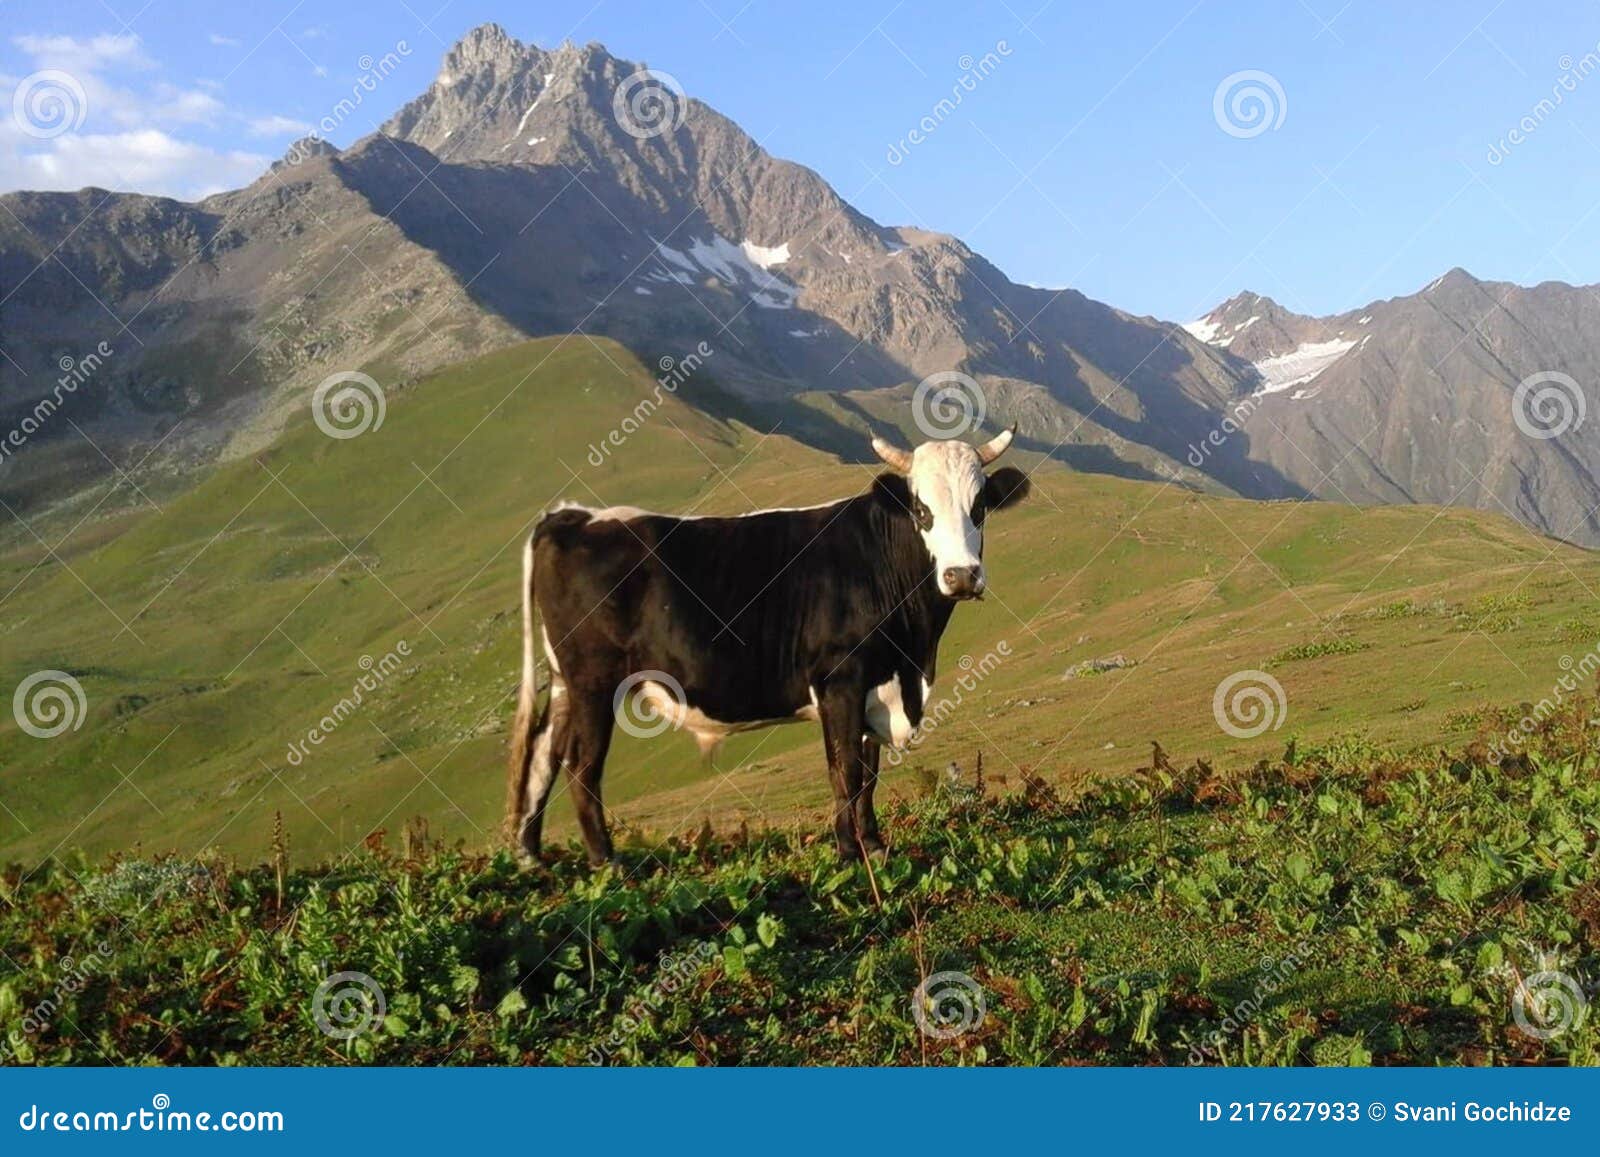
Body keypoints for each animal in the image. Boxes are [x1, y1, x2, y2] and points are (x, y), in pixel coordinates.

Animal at [503, 427, 1030, 865]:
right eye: (922, 510)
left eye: (979, 507)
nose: (961, 576)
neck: (913, 659)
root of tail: (573, 515)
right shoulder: (840, 679)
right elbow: (845, 767)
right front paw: (848, 852)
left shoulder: (876, 686)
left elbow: (870, 772)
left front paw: (875, 845)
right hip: (593, 681)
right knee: (581, 764)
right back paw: (605, 860)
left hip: (565, 681)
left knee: (544, 752)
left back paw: (531, 854)